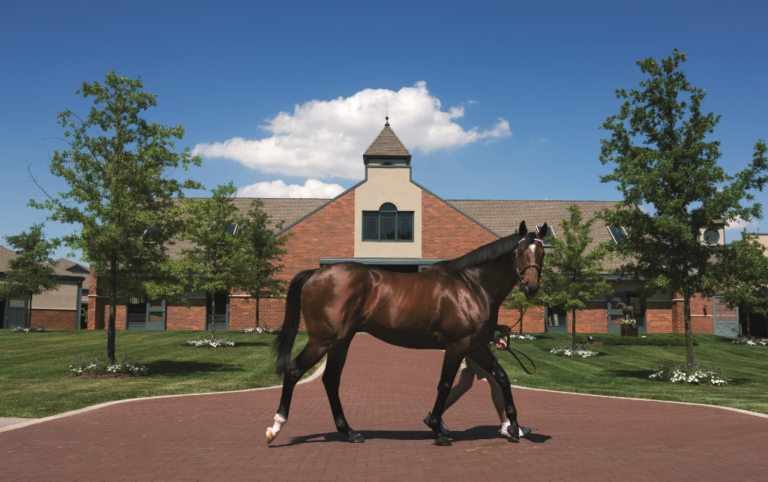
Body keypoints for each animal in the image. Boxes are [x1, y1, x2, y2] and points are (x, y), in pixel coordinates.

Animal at [266, 221, 548, 447]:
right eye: (520, 252)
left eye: (542, 252)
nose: (531, 286)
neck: (472, 286)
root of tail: (316, 273)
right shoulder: (457, 345)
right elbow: (445, 385)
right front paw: (437, 429)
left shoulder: (476, 347)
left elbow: (502, 377)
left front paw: (514, 427)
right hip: (322, 340)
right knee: (294, 370)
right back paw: (275, 427)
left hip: (340, 342)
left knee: (331, 380)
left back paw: (350, 431)